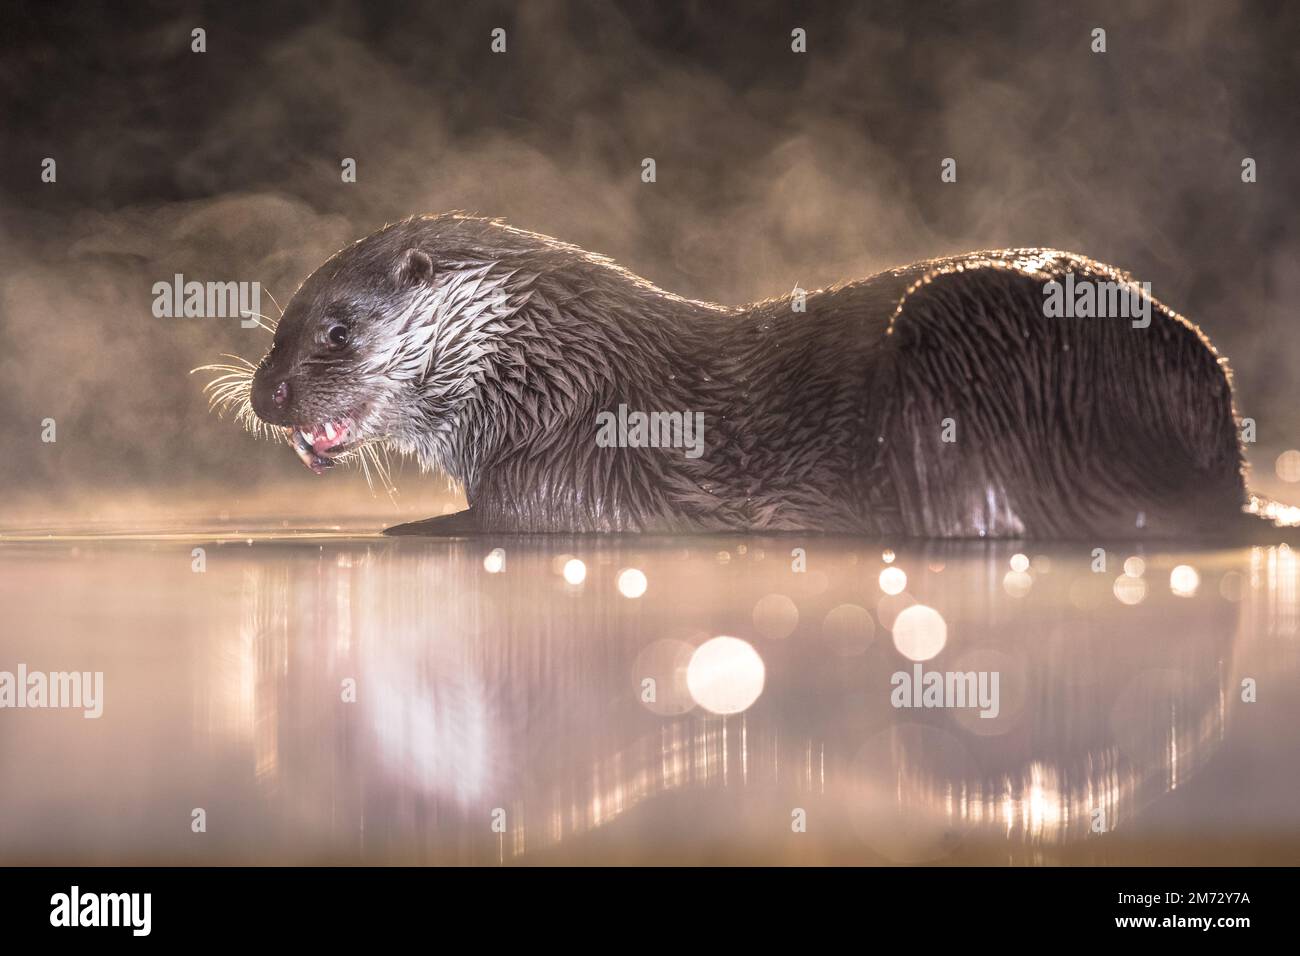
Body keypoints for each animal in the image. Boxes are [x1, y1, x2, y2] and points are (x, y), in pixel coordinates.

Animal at [216, 213, 1290, 537]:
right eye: (276, 333)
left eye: (335, 331)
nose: (268, 394)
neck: (558, 376)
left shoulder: (569, 480)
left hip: (959, 351)